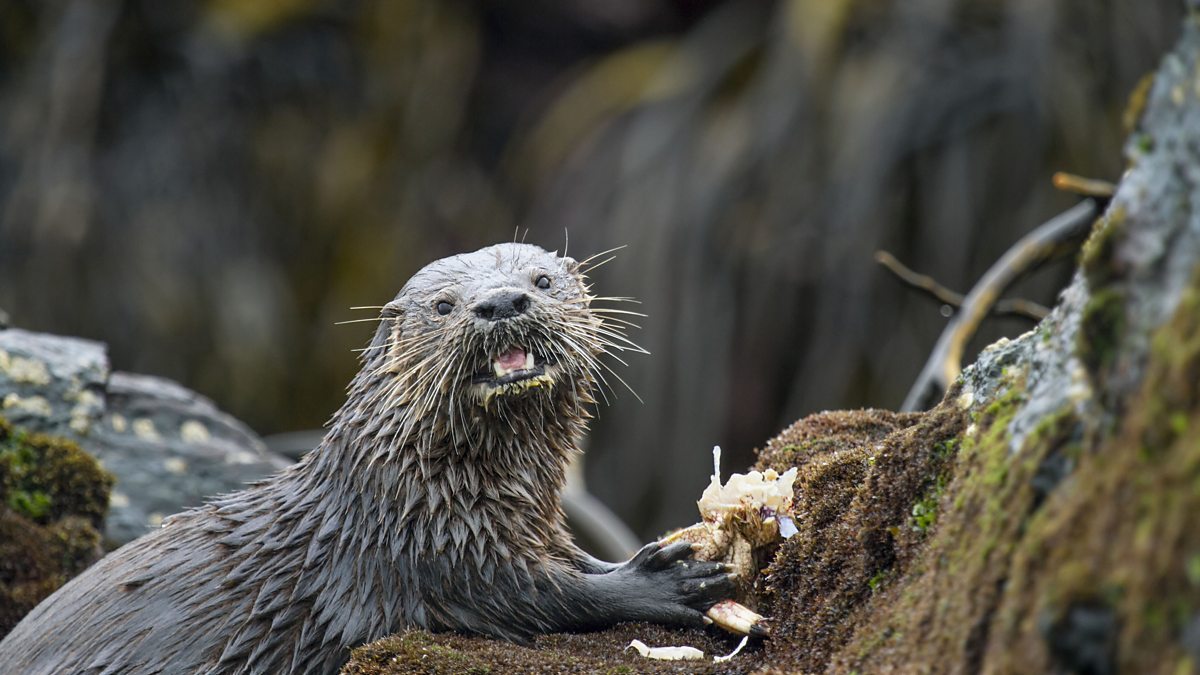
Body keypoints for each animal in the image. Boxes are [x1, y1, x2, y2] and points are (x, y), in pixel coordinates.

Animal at [0, 243, 734, 674]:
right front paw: (665, 581)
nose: (501, 301)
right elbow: (539, 597)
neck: (420, 481)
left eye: (542, 278)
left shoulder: (527, 524)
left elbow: (574, 562)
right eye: (444, 304)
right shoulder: (432, 549)